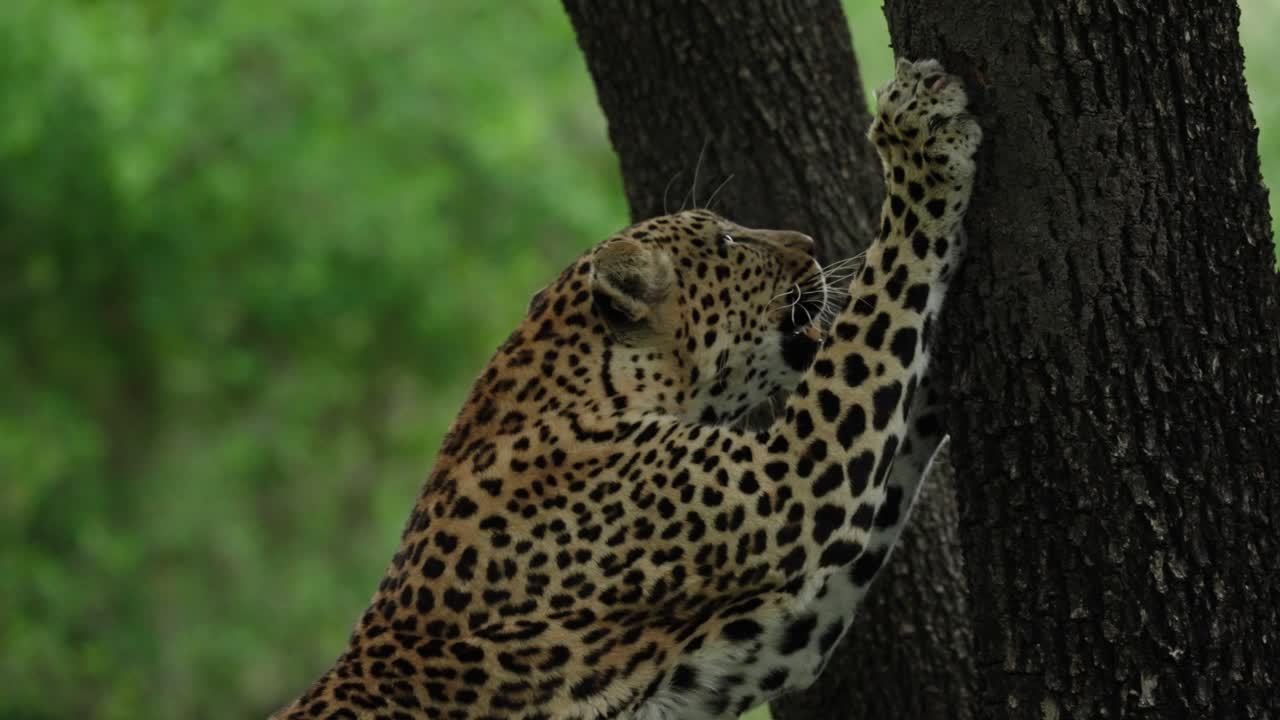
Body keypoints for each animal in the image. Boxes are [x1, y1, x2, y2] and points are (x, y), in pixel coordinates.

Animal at [272, 58, 982, 720]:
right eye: (728, 239)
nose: (807, 242)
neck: (597, 387)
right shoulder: (787, 483)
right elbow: (879, 304)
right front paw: (918, 141)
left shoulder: (754, 643)